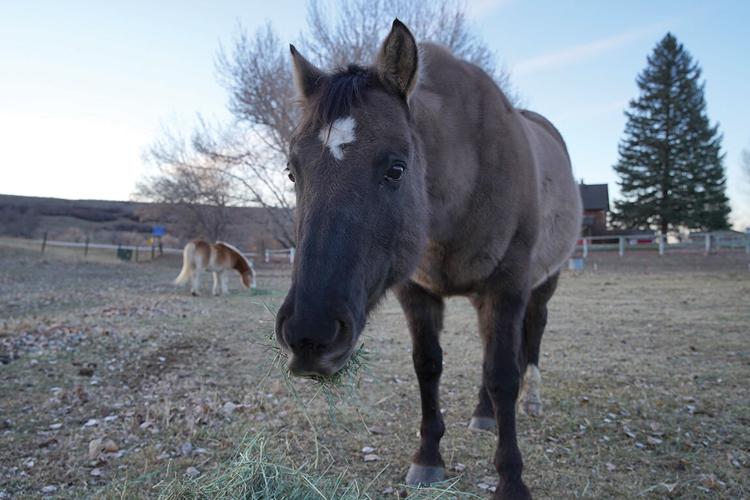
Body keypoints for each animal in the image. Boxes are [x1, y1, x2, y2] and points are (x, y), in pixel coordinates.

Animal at [275, 20, 582, 499]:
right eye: (293, 171)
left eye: (396, 169)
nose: (309, 336)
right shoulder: (416, 292)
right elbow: (429, 366)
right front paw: (428, 457)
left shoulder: (508, 287)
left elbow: (502, 374)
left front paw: (511, 479)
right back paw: (484, 413)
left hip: (541, 285)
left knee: (530, 338)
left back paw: (529, 399)